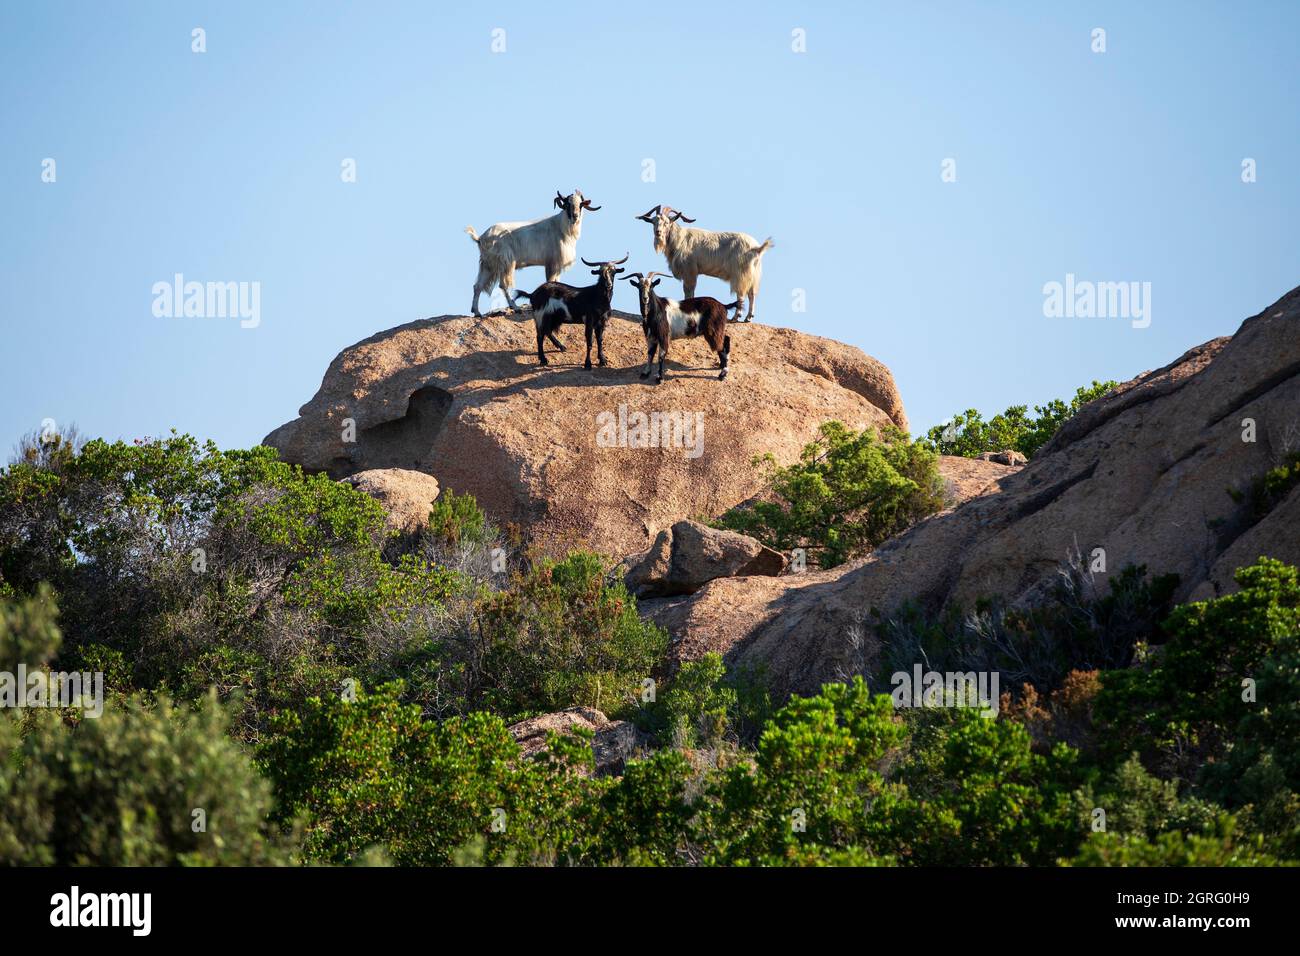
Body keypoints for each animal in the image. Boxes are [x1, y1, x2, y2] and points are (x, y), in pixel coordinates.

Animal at [465, 189, 600, 317]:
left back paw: (477, 312)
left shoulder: (556, 266)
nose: (575, 216)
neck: (561, 228)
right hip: (506, 262)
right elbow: (550, 281)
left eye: (580, 204)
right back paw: (515, 308)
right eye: (567, 204)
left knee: (477, 286)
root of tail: (481, 238)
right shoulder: (552, 264)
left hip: (488, 265)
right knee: (503, 285)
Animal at [634, 205, 772, 322]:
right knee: (752, 294)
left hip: (741, 273)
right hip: (753, 274)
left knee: (741, 293)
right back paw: (748, 318)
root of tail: (757, 248)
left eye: (666, 222)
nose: (658, 232)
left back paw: (736, 317)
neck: (679, 238)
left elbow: (688, 291)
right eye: (654, 222)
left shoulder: (689, 271)